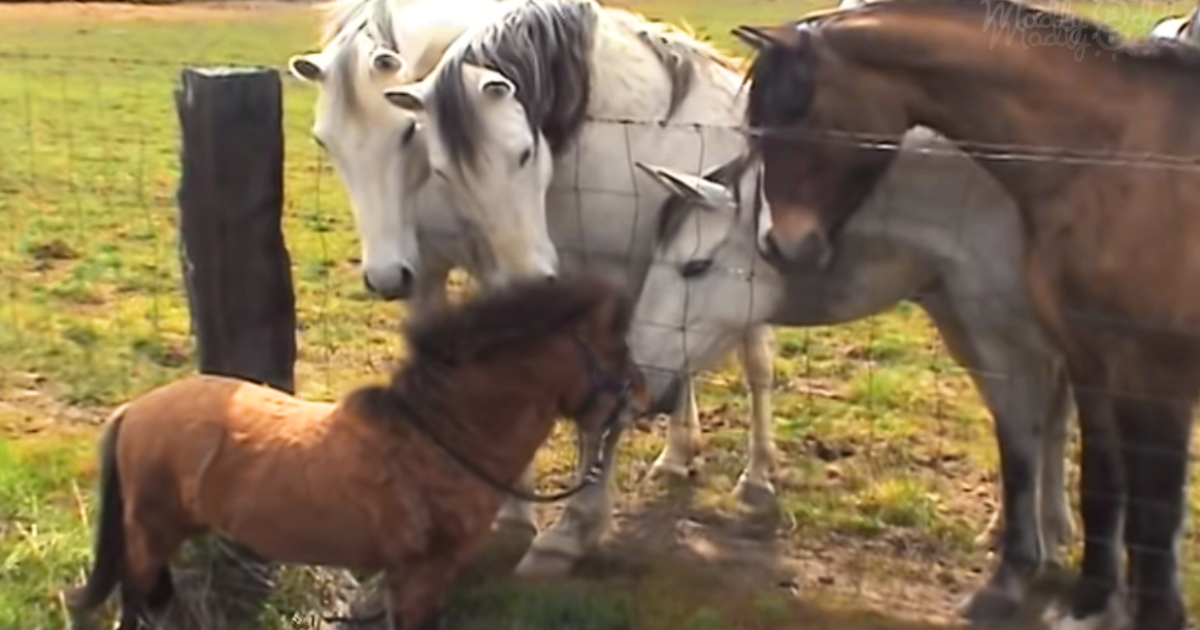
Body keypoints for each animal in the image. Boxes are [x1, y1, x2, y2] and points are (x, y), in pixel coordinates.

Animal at [62, 275, 645, 630]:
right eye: (616, 349)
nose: (637, 399)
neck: (439, 438)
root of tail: (133, 411)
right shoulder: (421, 574)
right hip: (151, 534)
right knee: (139, 599)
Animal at [377, 0, 778, 578]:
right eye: (440, 170)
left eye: (524, 153)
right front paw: (517, 517)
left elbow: (610, 406)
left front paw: (569, 534)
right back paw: (677, 455)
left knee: (757, 368)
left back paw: (759, 477)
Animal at [739, 1, 1200, 627]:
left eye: (801, 114)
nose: (780, 247)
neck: (1116, 159)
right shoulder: (1091, 363)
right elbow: (1102, 487)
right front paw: (1089, 604)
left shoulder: (1153, 378)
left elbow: (1154, 518)